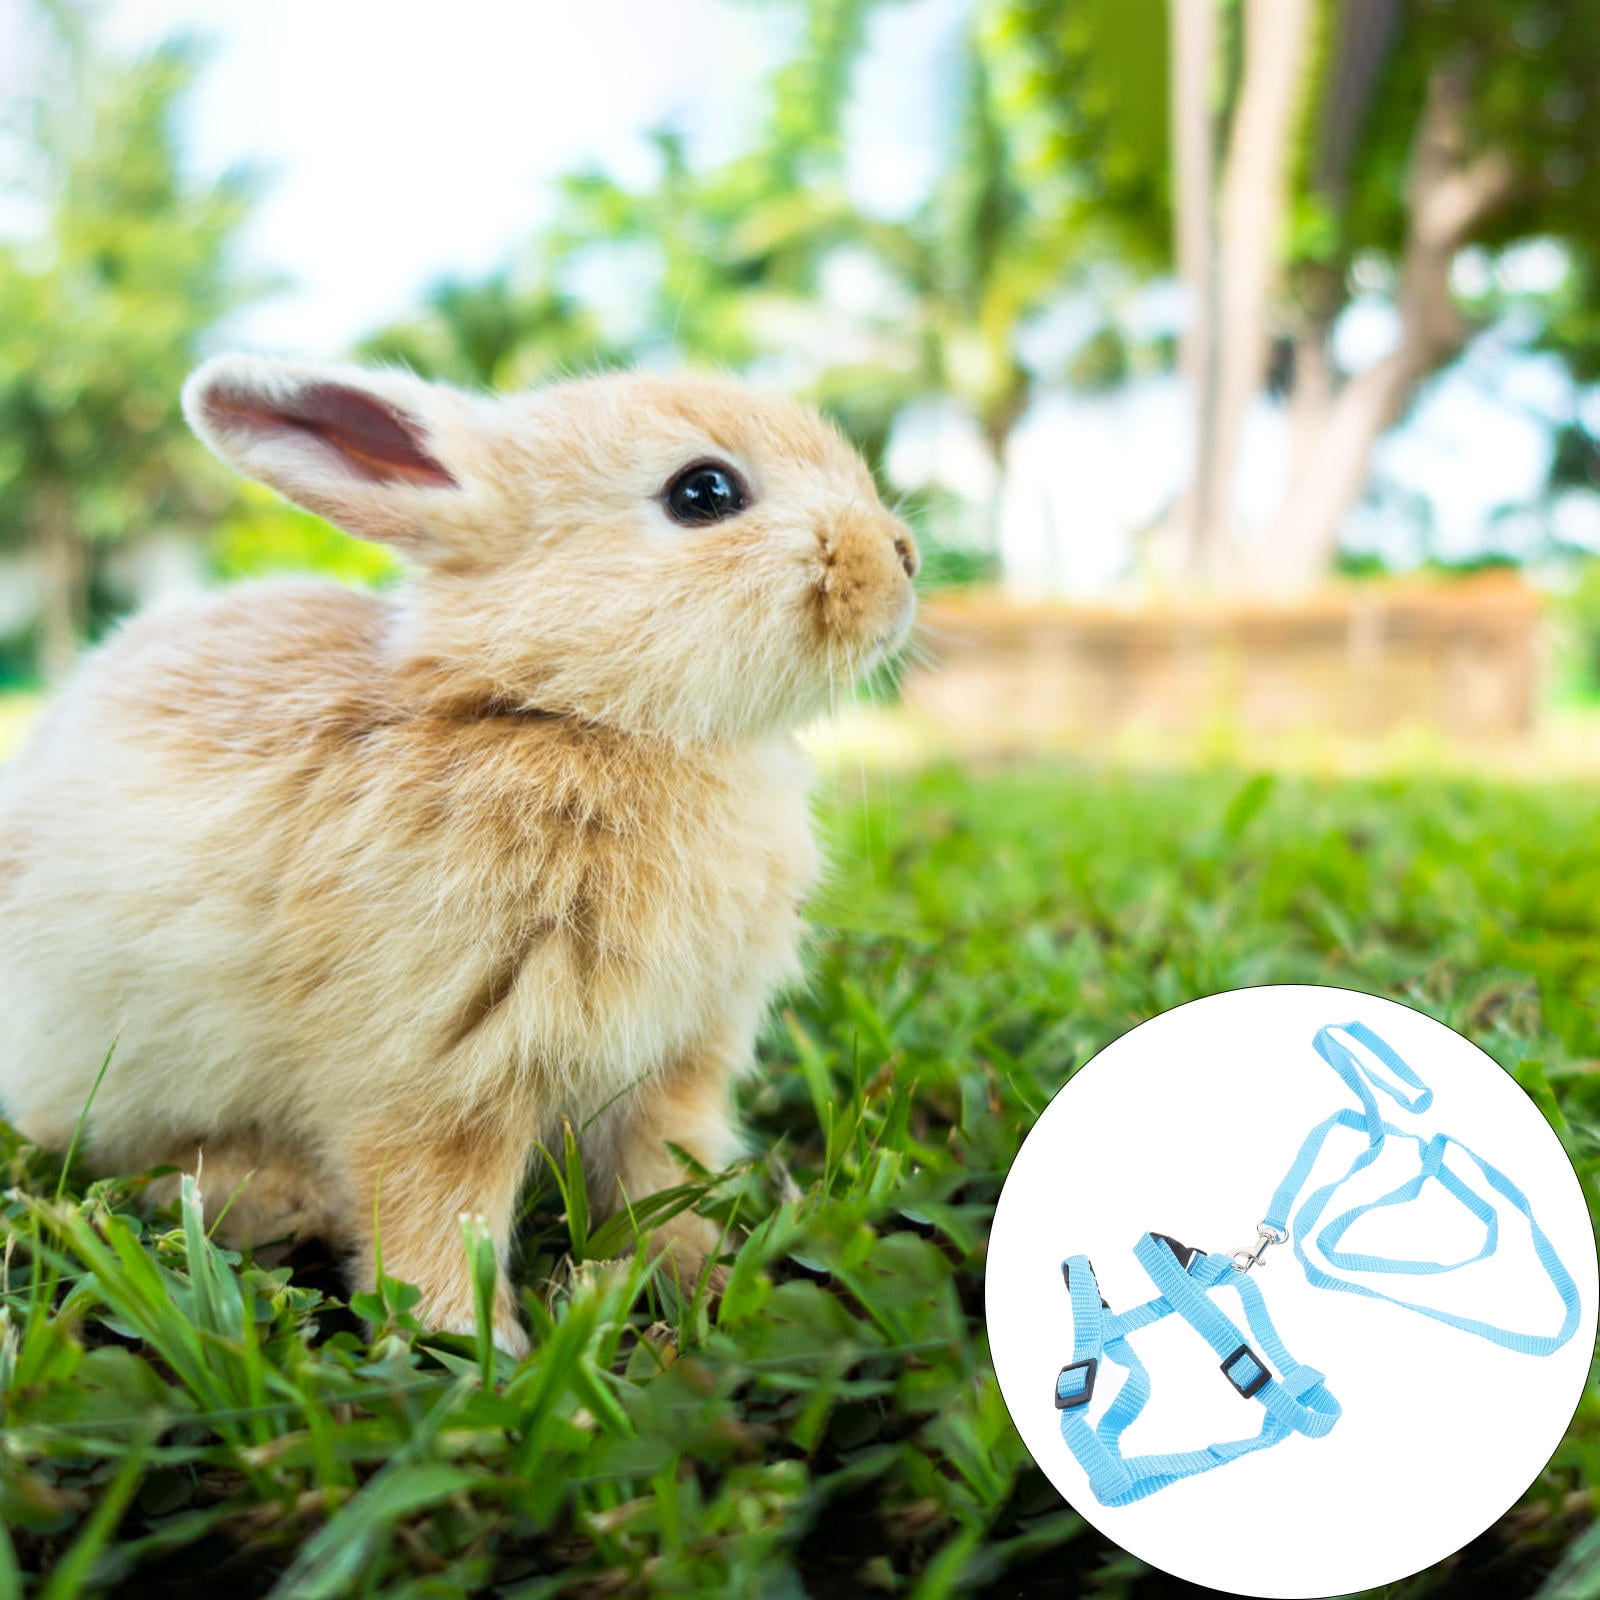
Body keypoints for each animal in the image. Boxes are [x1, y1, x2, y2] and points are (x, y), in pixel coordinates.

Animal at [0, 356, 918, 1356]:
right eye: (704, 492)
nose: (902, 558)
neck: (559, 709)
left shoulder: (675, 1068)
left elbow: (662, 1184)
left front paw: (701, 1279)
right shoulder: (434, 1073)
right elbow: (436, 1213)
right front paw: (473, 1348)